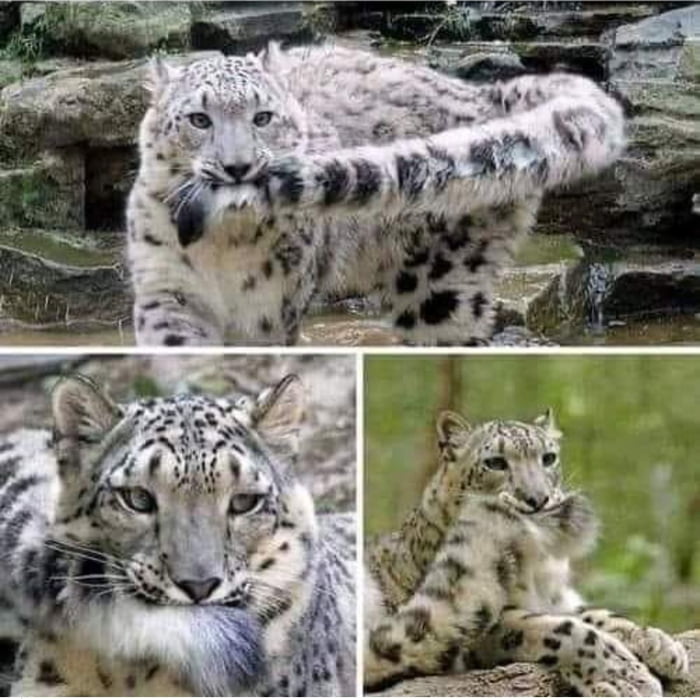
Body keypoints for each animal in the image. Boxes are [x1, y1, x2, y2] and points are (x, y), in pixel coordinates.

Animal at [127, 42, 625, 346]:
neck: (222, 244)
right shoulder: (167, 287)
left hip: (440, 286)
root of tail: (485, 94)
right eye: (198, 119)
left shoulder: (268, 309)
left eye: (263, 117)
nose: (237, 167)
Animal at [364, 408, 689, 696]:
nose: (538, 499)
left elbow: (595, 613)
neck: (539, 563)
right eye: (496, 462)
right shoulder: (486, 629)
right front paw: (626, 677)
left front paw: (657, 642)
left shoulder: (556, 597)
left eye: (548, 458)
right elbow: (559, 629)